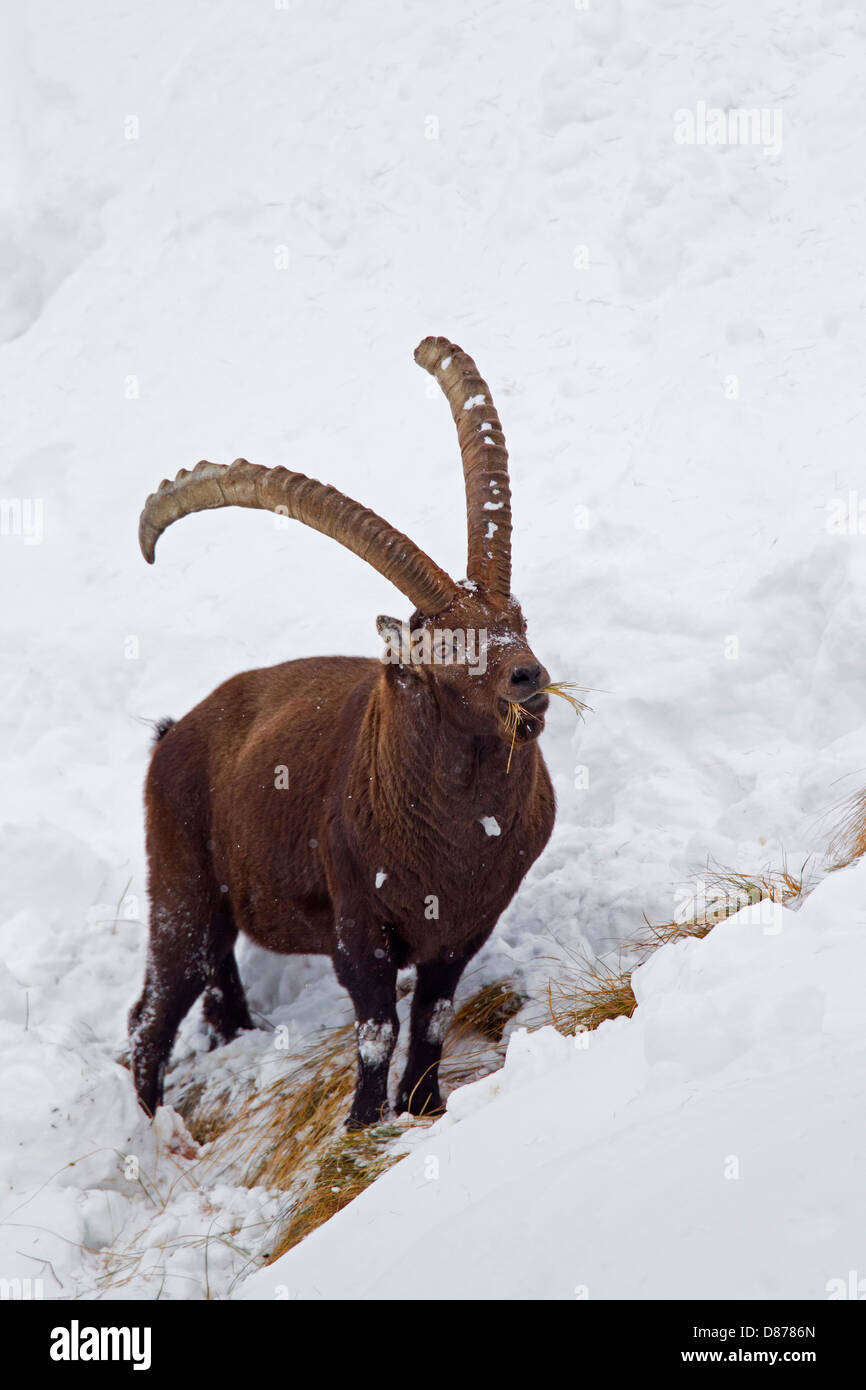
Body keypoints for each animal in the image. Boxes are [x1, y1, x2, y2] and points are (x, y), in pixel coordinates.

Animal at [129, 337, 556, 1128]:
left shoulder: (467, 924)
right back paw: (155, 1133)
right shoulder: (356, 919)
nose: (529, 680)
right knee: (150, 1016)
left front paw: (423, 1106)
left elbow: (433, 1018)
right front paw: (363, 1121)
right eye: (439, 647)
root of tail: (170, 738)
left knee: (218, 992)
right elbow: (376, 1025)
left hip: (219, 911)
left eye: (517, 616)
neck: (459, 837)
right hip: (179, 888)